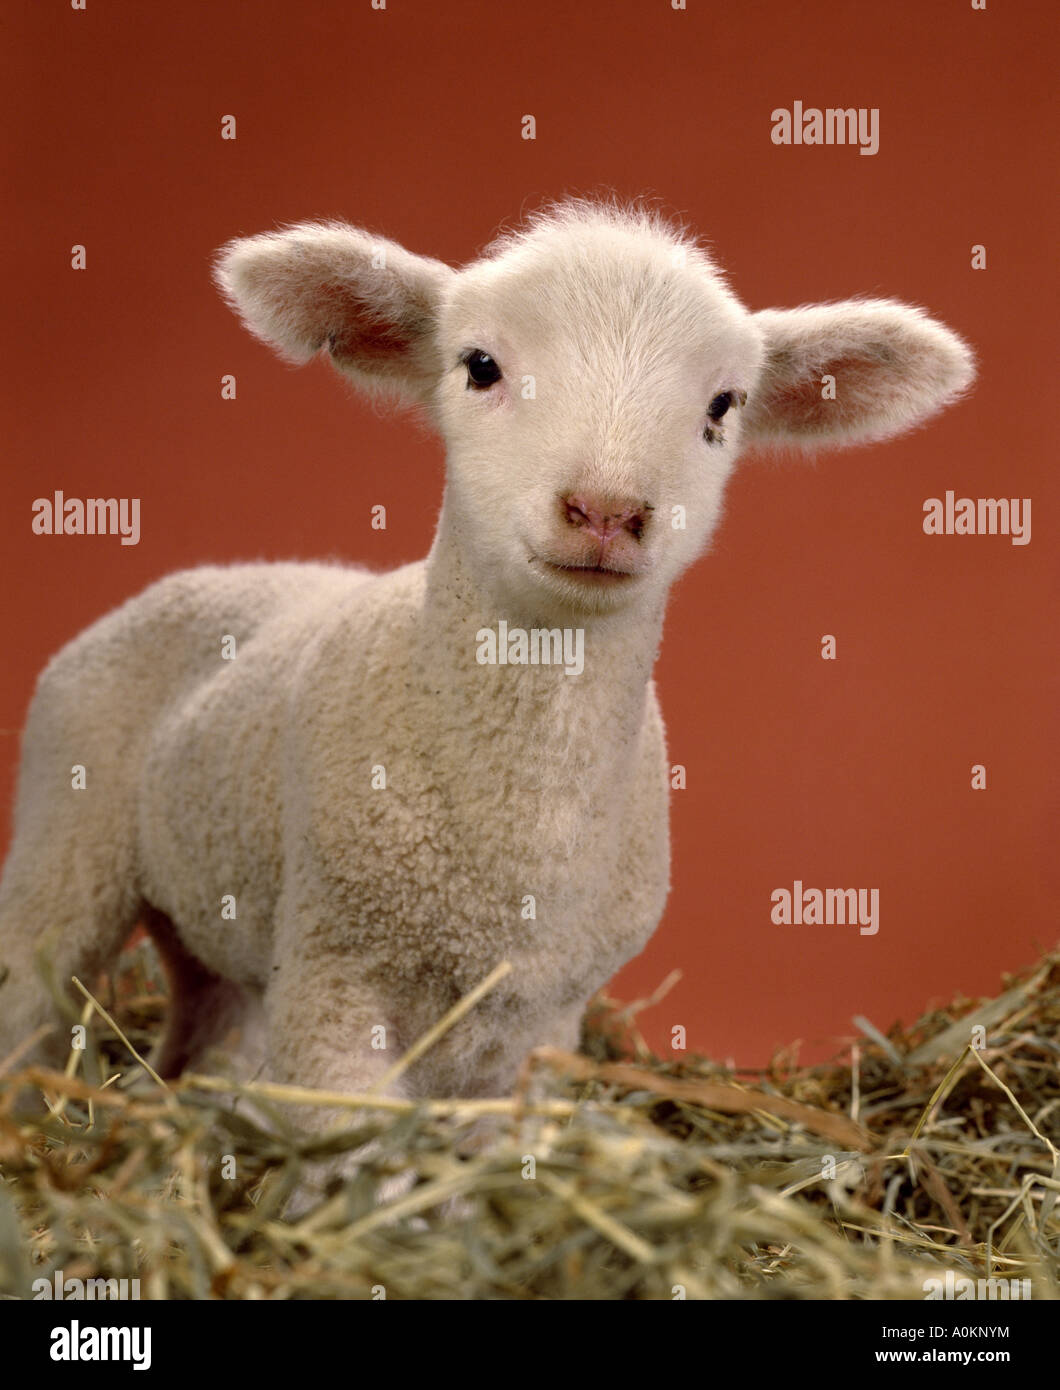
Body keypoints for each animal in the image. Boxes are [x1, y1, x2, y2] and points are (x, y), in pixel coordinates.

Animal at [0, 200, 974, 1129]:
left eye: (724, 405)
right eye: (479, 367)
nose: (607, 511)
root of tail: (205, 574)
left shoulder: (541, 1019)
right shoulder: (334, 972)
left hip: (217, 917)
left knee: (204, 1025)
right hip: (66, 838)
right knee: (28, 990)